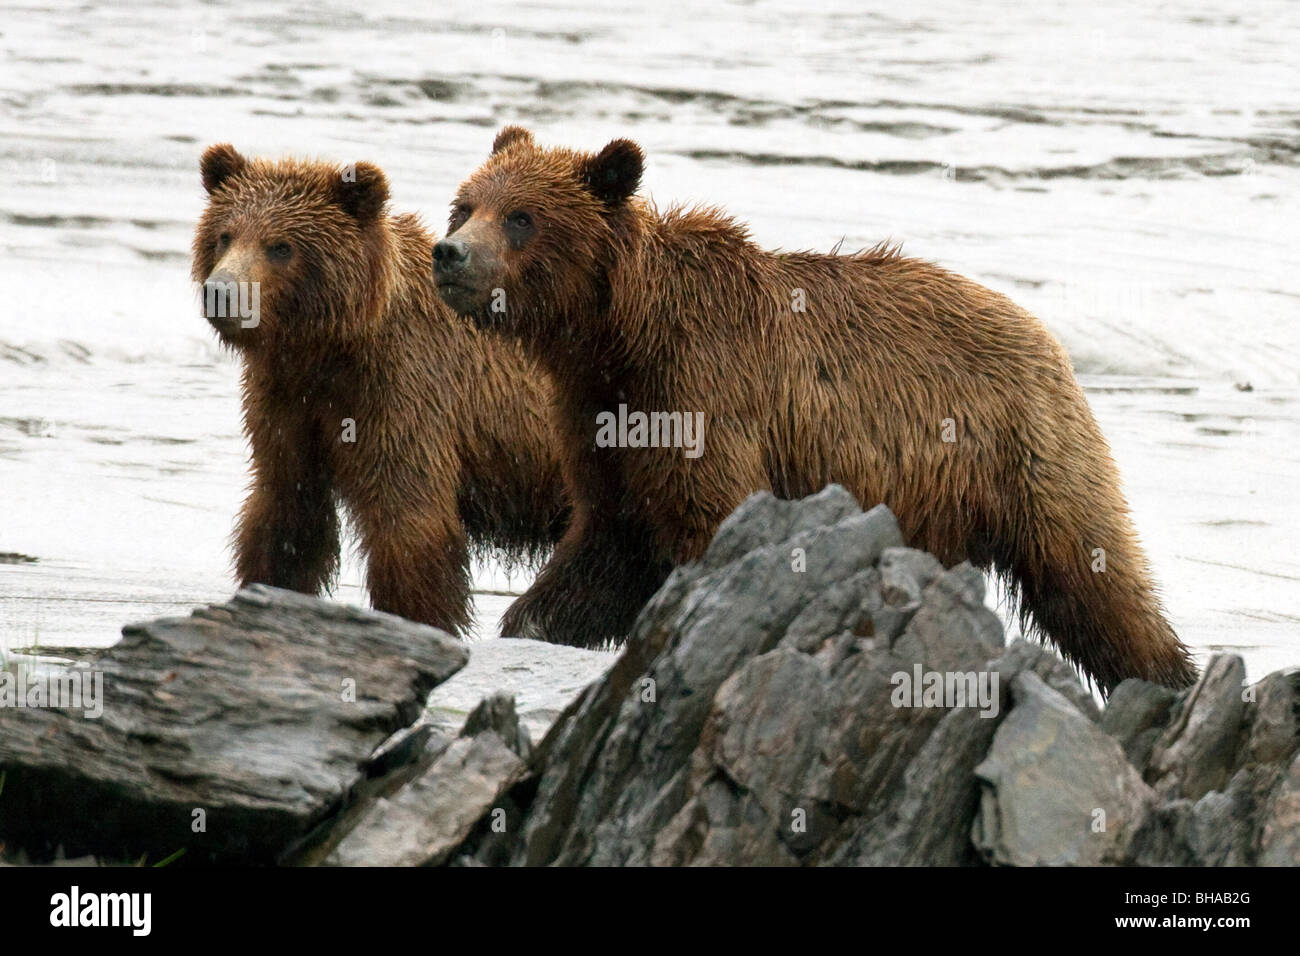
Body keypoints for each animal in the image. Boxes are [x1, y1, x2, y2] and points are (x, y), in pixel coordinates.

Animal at [192, 143, 568, 637]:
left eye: (281, 246)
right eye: (225, 235)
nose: (222, 291)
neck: (332, 350)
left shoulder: (402, 391)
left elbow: (407, 525)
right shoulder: (288, 405)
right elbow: (286, 514)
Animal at [430, 125, 1198, 693]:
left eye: (523, 218)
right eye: (466, 205)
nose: (450, 254)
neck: (621, 335)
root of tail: (1043, 333)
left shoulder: (704, 392)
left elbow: (712, 521)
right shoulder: (603, 425)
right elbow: (601, 550)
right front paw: (530, 623)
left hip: (1022, 446)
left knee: (1092, 572)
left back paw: (1167, 674)